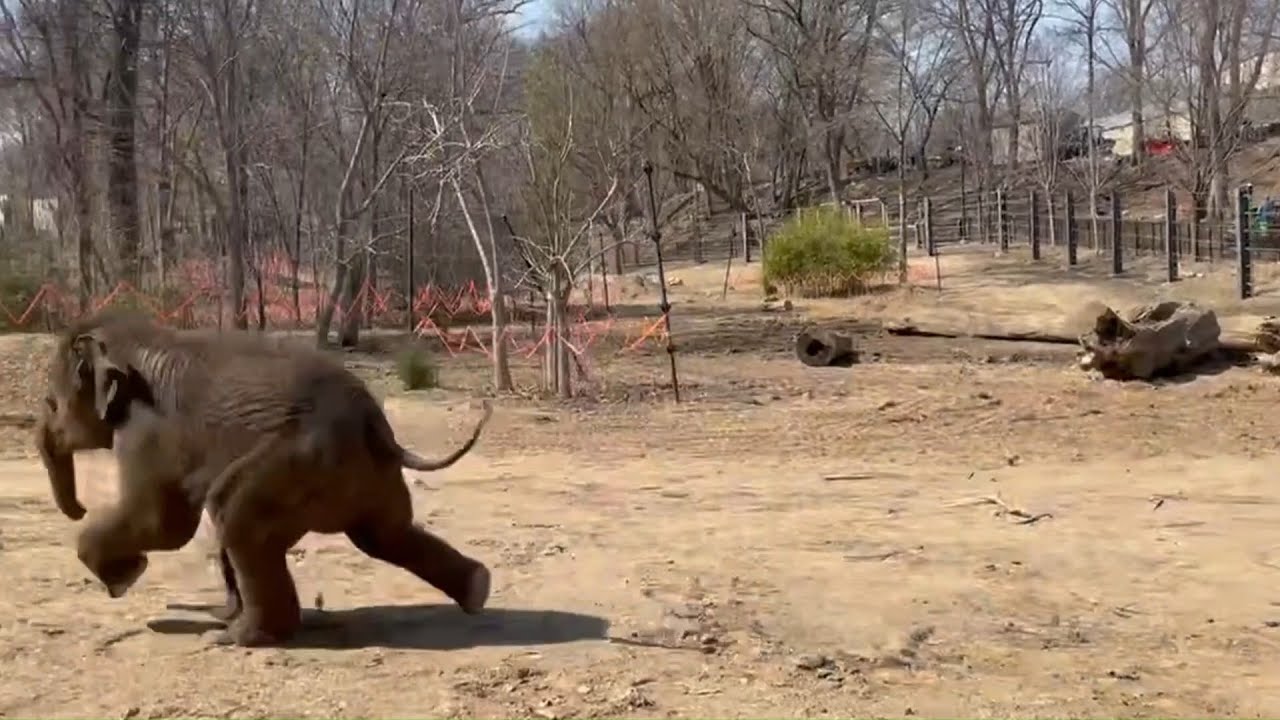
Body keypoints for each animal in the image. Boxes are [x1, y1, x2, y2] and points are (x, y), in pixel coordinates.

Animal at [37, 310, 494, 646]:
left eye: (51, 402)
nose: (79, 509)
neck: (131, 335)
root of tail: (374, 420)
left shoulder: (147, 430)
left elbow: (162, 522)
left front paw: (123, 579)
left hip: (301, 458)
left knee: (232, 511)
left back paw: (237, 638)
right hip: (364, 471)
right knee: (385, 534)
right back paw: (478, 590)